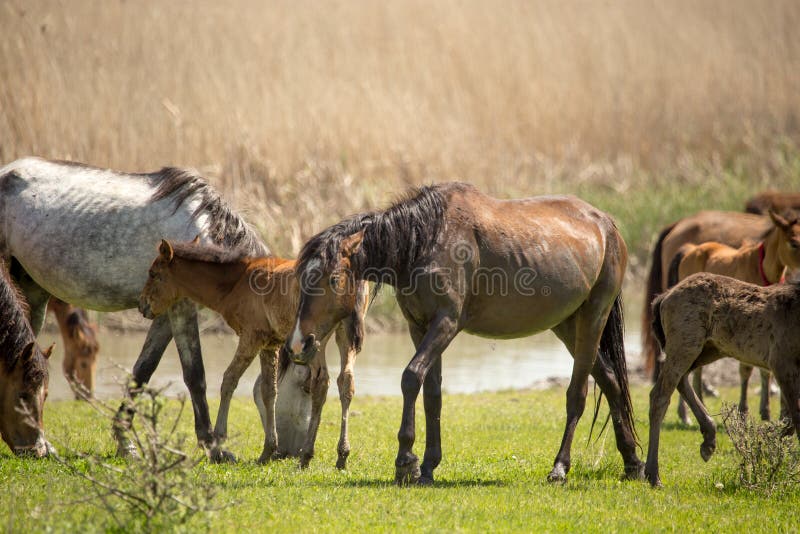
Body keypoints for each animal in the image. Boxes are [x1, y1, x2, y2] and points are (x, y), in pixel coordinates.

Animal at [139, 238, 367, 468]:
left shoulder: (251, 337)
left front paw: (219, 443)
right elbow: (269, 391)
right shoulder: (270, 345)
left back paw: (307, 455)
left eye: (153, 273)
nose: (142, 305)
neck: (238, 281)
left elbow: (229, 380)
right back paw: (341, 455)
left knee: (321, 383)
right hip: (343, 336)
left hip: (313, 339)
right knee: (345, 382)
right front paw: (268, 451)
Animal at [283, 182, 642, 485]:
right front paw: (427, 465)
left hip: (593, 317)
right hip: (567, 325)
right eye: (302, 279)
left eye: (332, 279)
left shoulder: (446, 323)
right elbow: (432, 394)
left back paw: (560, 468)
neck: (426, 240)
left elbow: (411, 377)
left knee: (577, 395)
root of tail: (606, 225)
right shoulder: (420, 327)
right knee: (611, 380)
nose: (300, 344)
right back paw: (633, 463)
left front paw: (405, 461)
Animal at [647, 273, 800, 487]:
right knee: (659, 395)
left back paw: (708, 439)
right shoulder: (781, 362)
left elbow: (790, 424)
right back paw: (653, 474)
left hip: (710, 348)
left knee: (682, 379)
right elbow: (796, 419)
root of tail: (664, 297)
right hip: (686, 343)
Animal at [666, 210, 800, 422]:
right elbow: (746, 369)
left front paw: (771, 412)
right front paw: (744, 411)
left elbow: (766, 370)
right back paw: (687, 413)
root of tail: (691, 249)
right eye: (794, 243)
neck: (761, 268)